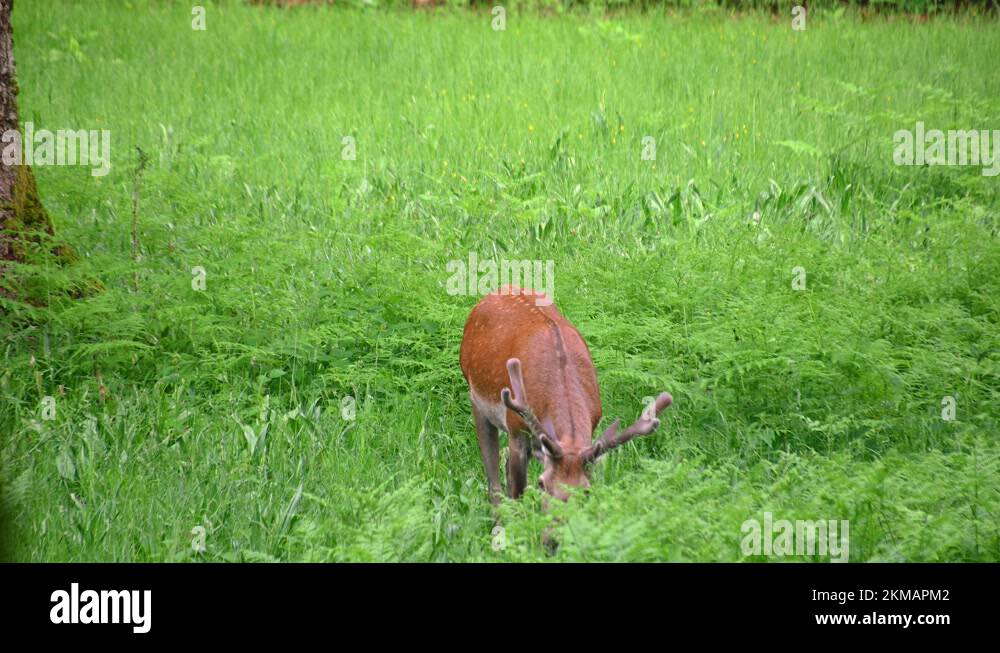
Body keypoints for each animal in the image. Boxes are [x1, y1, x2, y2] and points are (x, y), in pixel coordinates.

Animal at [459, 285, 672, 504]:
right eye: (542, 483)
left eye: (586, 490)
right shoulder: (515, 426)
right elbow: (517, 491)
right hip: (476, 398)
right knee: (493, 478)